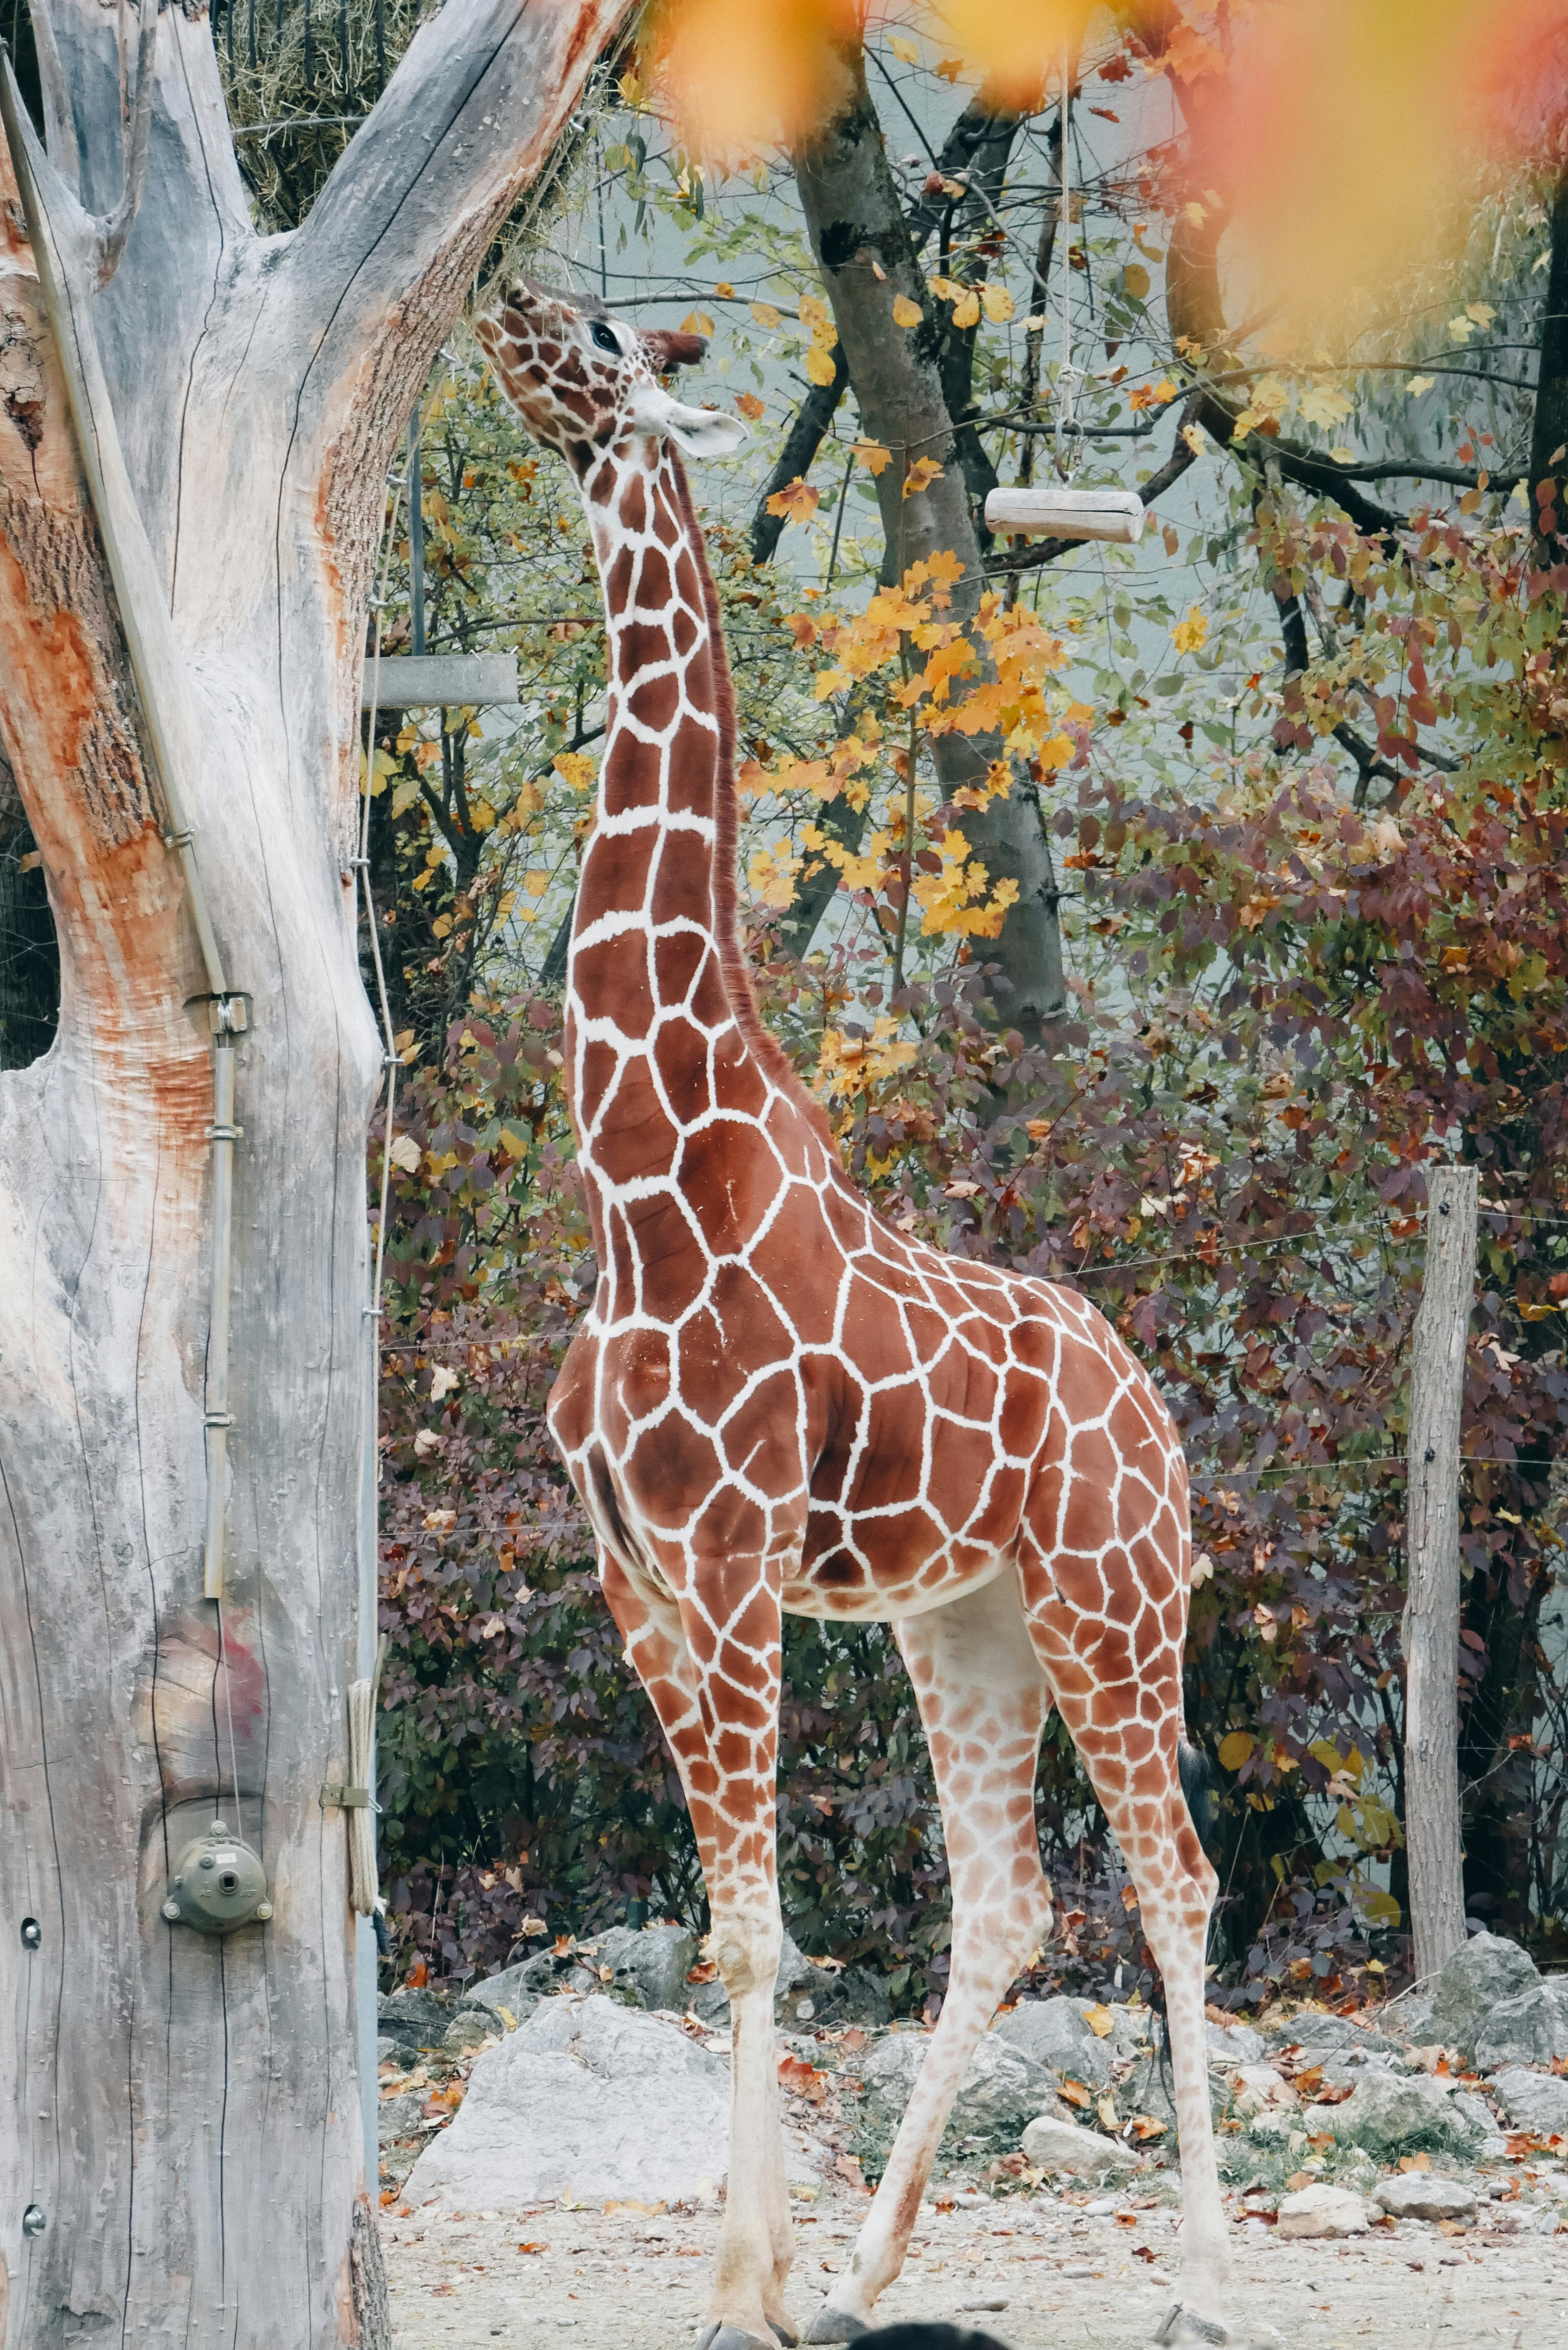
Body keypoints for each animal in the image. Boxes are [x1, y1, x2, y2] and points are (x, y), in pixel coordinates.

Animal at [476, 279, 1236, 2350]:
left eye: (601, 338)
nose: (496, 291)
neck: (648, 1182)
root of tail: (1158, 1418)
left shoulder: (733, 1559)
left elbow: (756, 1933)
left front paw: (740, 2284)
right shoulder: (632, 1571)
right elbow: (732, 1925)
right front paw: (772, 2276)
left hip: (1108, 1601)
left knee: (1174, 1881)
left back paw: (1209, 2276)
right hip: (960, 1619)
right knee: (1008, 1902)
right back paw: (876, 2266)